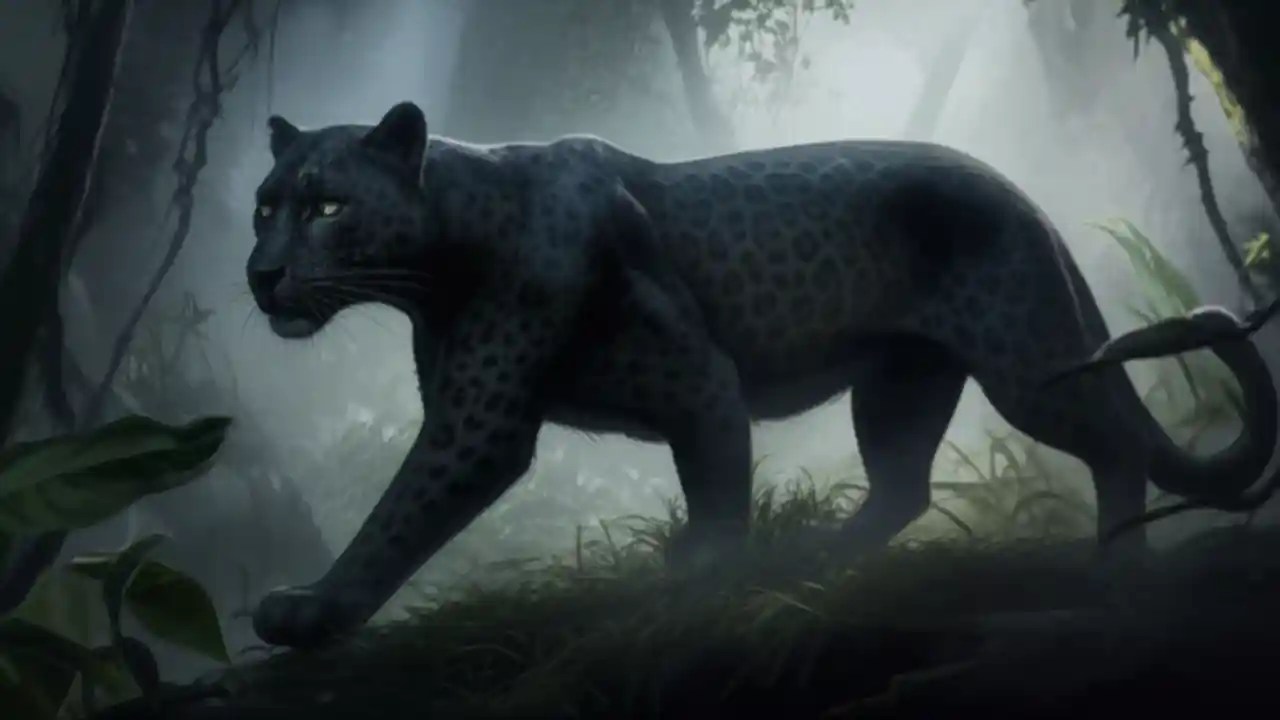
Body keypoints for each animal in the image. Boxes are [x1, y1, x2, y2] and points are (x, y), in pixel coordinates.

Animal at [246, 101, 1278, 649]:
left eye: (327, 206)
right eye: (263, 208)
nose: (259, 274)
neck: (442, 256)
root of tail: (1024, 197)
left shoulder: (664, 388)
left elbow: (402, 513)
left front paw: (310, 609)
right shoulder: (487, 408)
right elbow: (410, 511)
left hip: (1026, 363)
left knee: (1112, 443)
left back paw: (1118, 566)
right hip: (898, 385)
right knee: (902, 488)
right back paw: (815, 559)